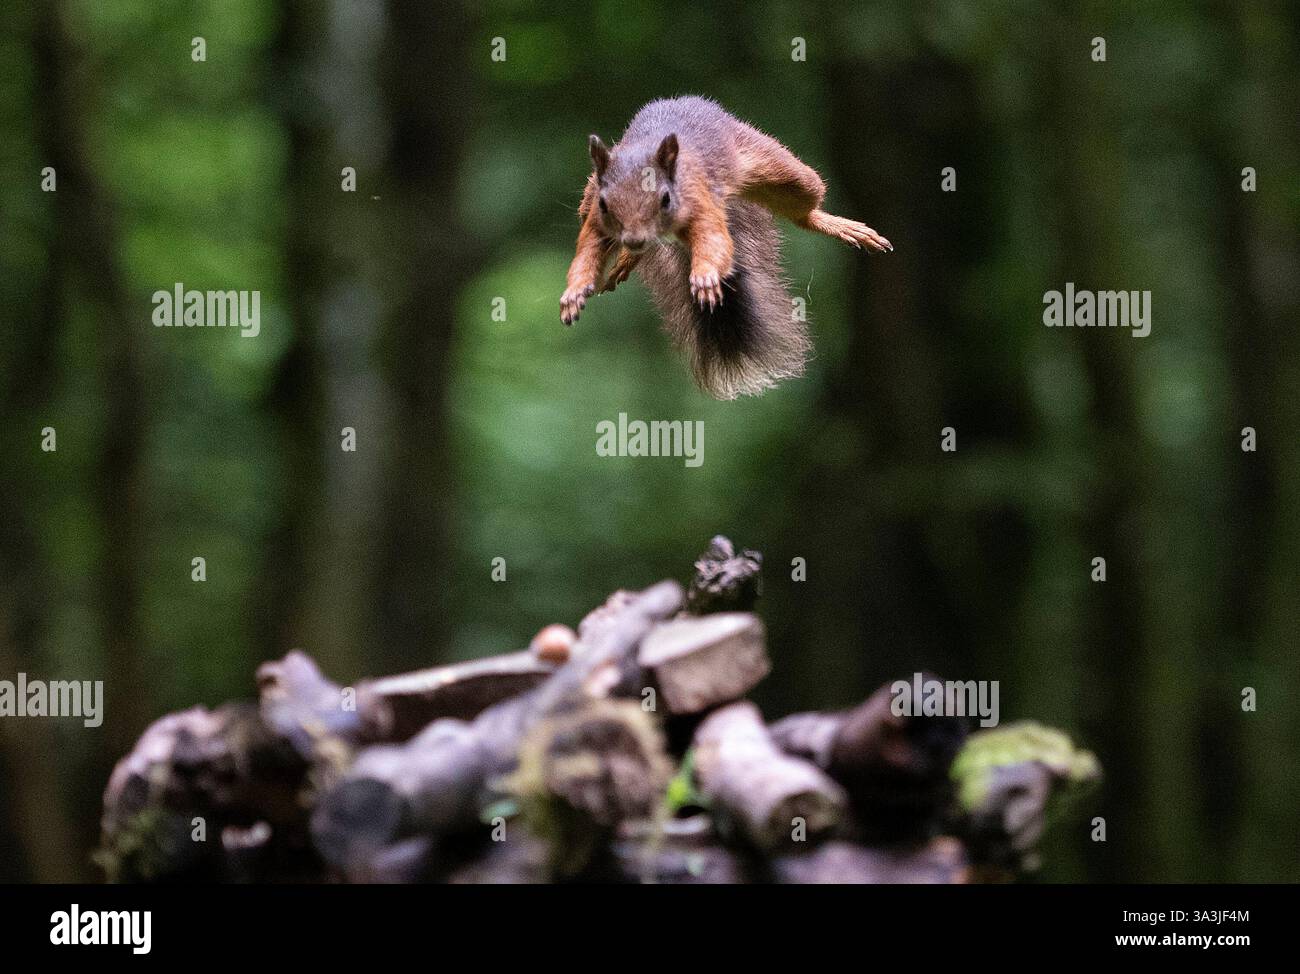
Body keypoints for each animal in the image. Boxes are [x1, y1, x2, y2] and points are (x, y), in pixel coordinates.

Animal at [560, 96, 891, 400]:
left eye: (666, 198)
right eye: (606, 204)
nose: (634, 239)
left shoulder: (702, 202)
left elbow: (714, 242)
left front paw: (705, 279)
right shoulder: (595, 219)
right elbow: (587, 252)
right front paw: (574, 293)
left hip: (780, 169)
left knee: (803, 211)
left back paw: (839, 225)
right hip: (586, 199)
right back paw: (627, 259)